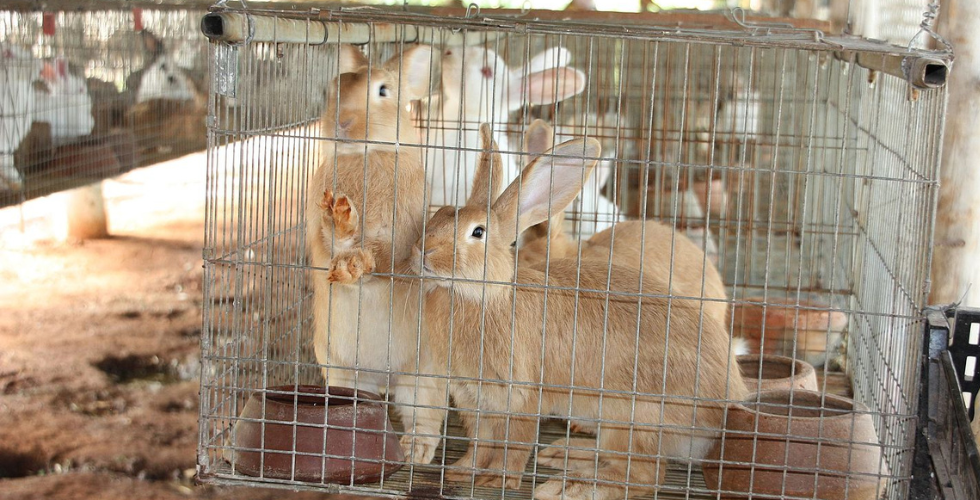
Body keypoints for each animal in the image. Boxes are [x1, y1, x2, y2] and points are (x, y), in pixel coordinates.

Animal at [307, 44, 444, 465]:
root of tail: (383, 380)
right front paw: (340, 219)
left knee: (425, 420)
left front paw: (354, 262)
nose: (342, 122)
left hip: (423, 381)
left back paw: (415, 452)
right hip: (338, 370)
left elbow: (383, 254)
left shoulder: (399, 237)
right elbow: (328, 242)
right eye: (333, 88)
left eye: (383, 91)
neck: (364, 155)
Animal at [412, 124, 747, 499]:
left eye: (478, 232)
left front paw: (499, 480)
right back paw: (564, 455)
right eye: (438, 214)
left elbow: (513, 446)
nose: (423, 249)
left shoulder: (522, 397)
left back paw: (566, 487)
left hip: (632, 418)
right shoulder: (472, 398)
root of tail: (725, 408)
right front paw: (461, 471)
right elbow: (479, 444)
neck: (483, 293)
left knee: (643, 475)